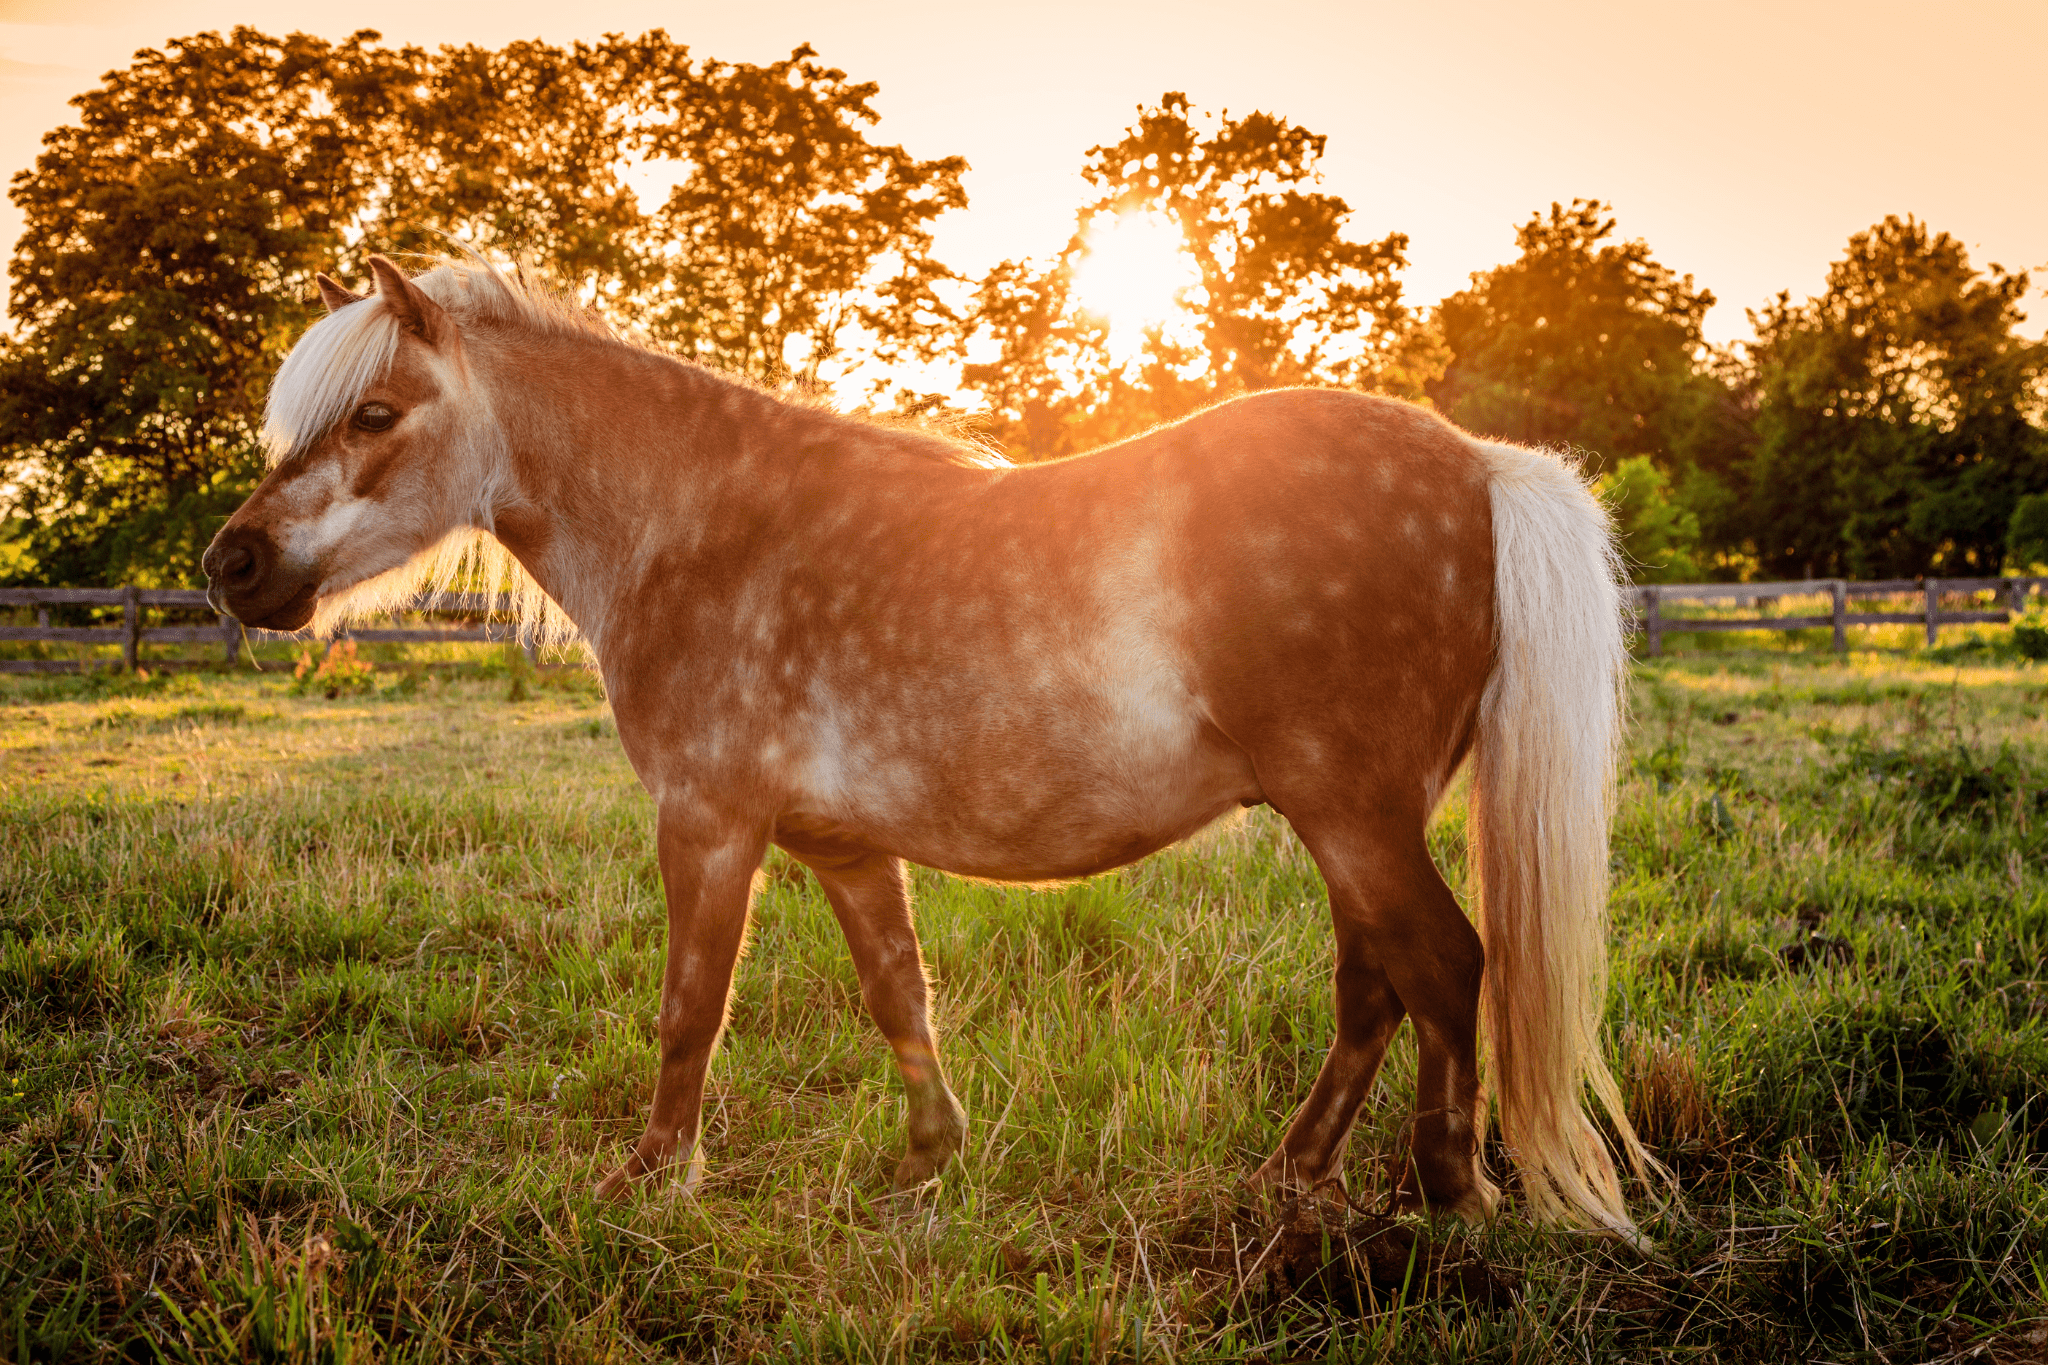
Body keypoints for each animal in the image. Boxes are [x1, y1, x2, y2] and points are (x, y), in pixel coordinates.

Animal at [203, 254, 1653, 1240]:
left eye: (374, 414)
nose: (235, 565)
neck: (698, 530)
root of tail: (1476, 463)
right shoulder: (844, 849)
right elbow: (900, 995)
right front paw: (924, 1157)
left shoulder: (709, 825)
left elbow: (689, 1011)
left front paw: (651, 1179)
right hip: (1355, 823)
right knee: (1376, 988)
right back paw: (1290, 1178)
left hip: (1351, 816)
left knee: (1443, 968)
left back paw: (1447, 1199)